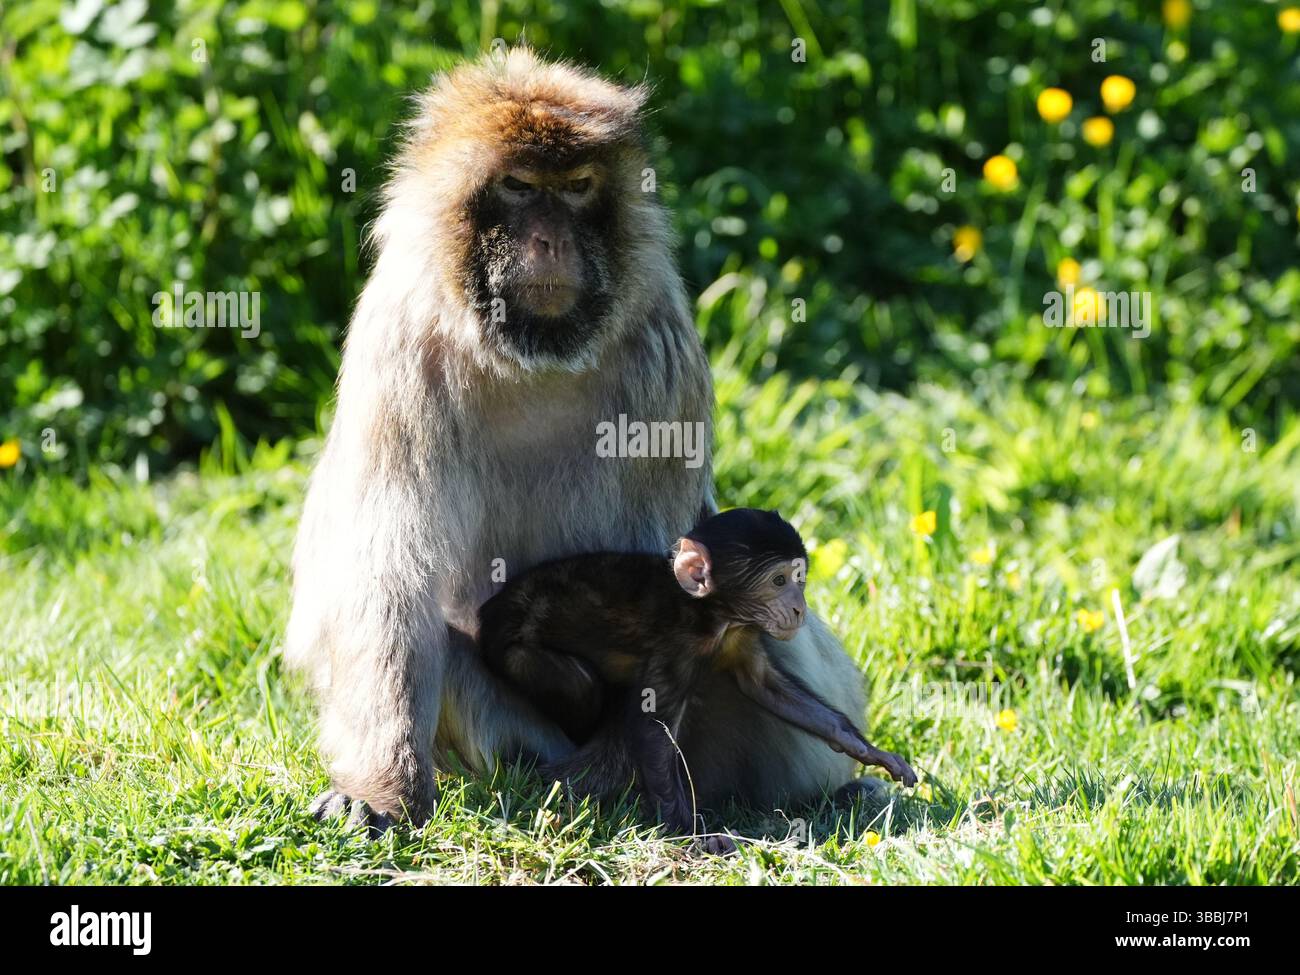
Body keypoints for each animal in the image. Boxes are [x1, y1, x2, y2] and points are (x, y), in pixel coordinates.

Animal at [285, 47, 883, 833]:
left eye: (575, 189)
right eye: (517, 186)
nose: (549, 239)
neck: (532, 357)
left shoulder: (662, 351)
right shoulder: (401, 350)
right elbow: (386, 574)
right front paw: (383, 791)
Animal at [478, 508, 918, 844]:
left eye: (799, 579)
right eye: (778, 581)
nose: (799, 609)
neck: (714, 614)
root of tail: (488, 614)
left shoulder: (742, 636)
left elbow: (765, 687)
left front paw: (866, 750)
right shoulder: (676, 647)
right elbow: (652, 732)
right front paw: (692, 835)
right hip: (514, 650)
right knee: (579, 683)